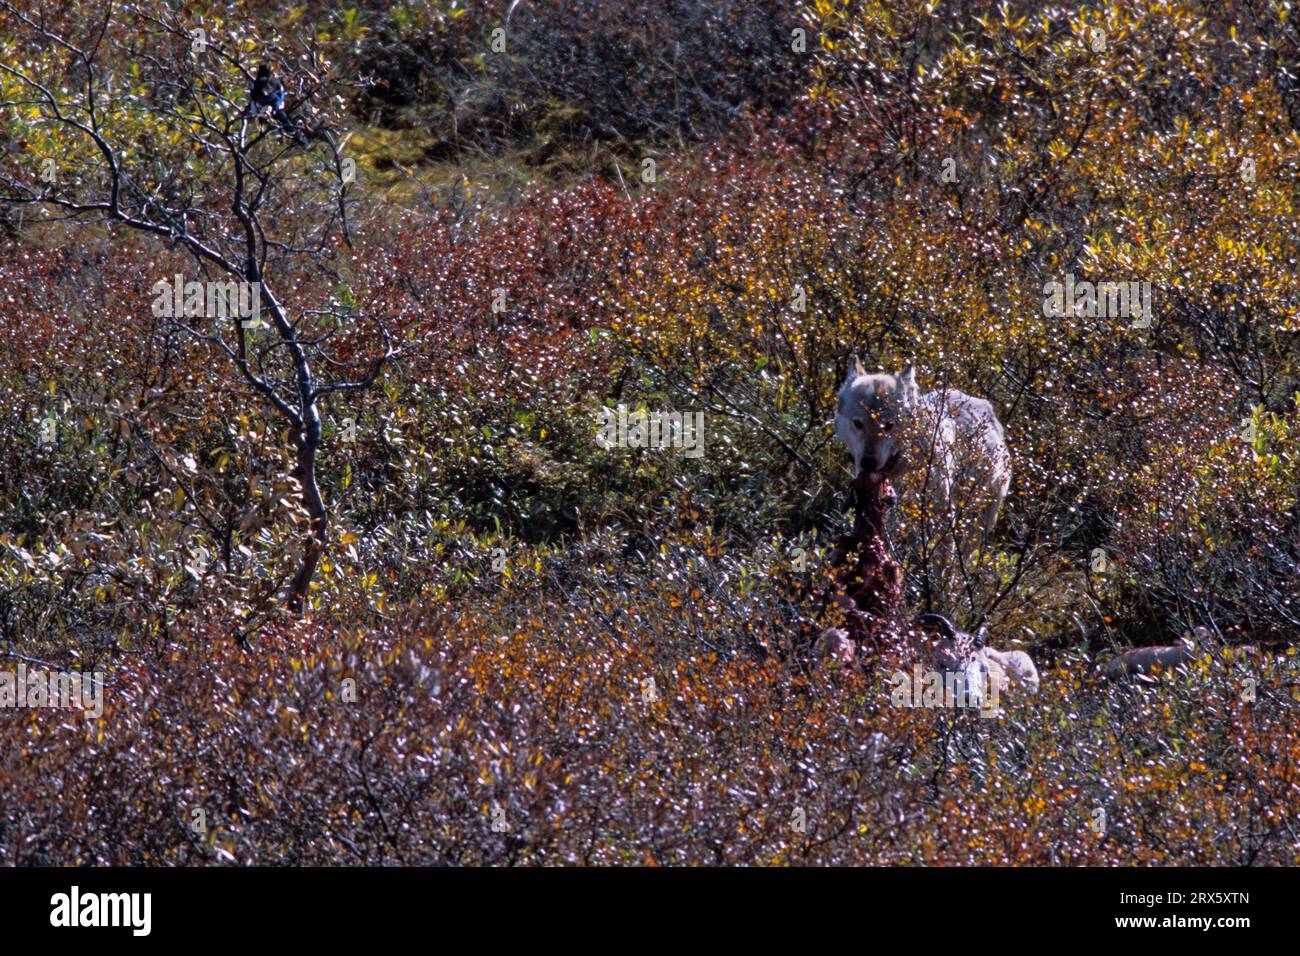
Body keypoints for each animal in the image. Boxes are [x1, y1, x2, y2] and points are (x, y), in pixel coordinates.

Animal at [835, 358, 1012, 561]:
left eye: (888, 426)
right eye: (858, 423)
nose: (868, 463)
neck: (903, 466)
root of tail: (986, 406)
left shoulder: (942, 514)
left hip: (978, 519)